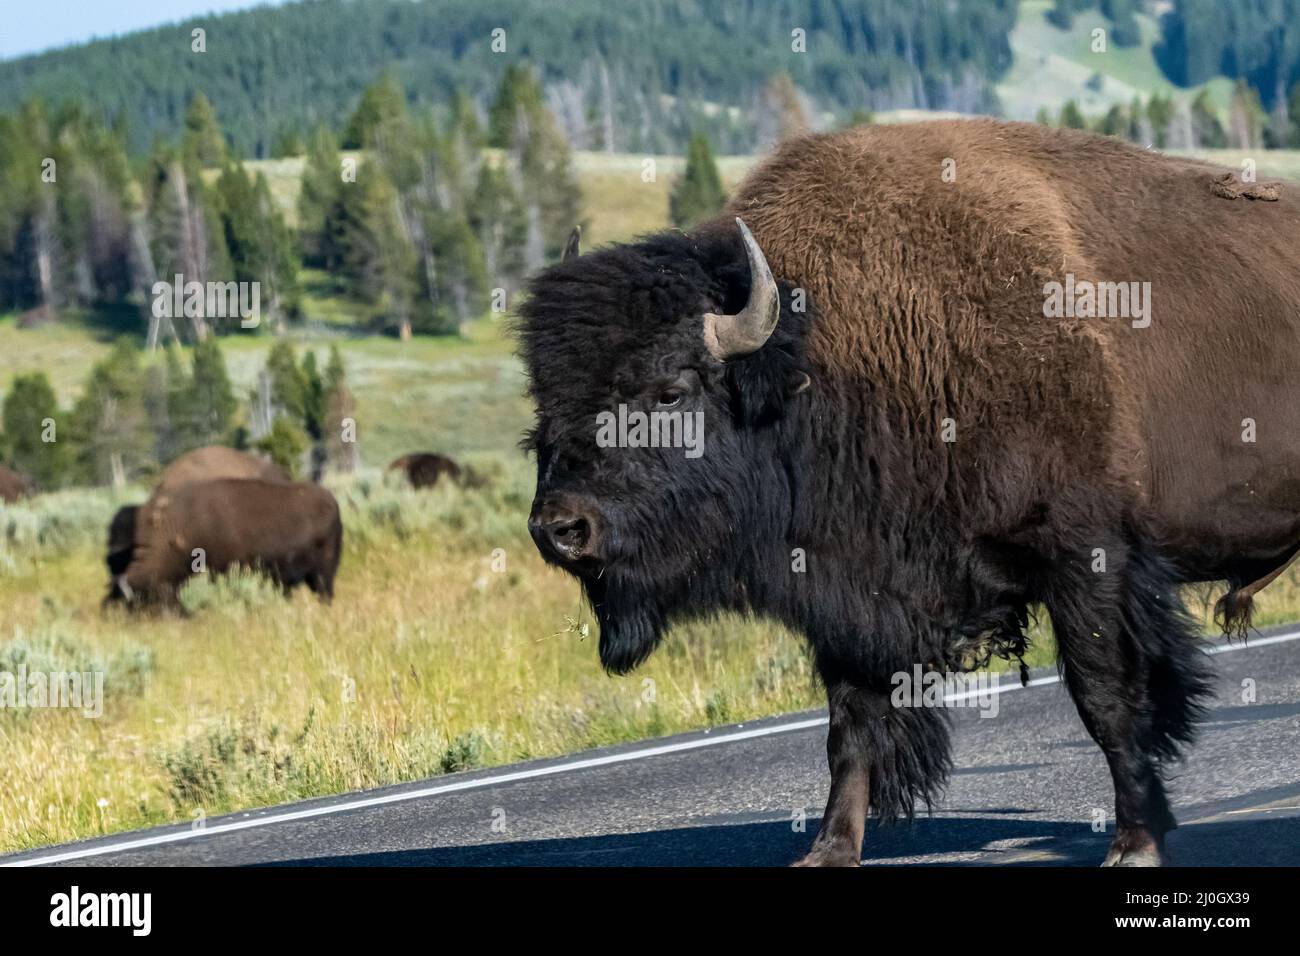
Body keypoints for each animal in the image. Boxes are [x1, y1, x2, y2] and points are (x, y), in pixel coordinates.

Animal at [517, 119, 1300, 866]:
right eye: (543, 406)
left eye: (670, 391)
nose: (560, 528)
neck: (820, 358)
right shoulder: (850, 598)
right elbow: (851, 728)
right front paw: (828, 851)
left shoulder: (1088, 556)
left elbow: (1107, 697)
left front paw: (1135, 843)